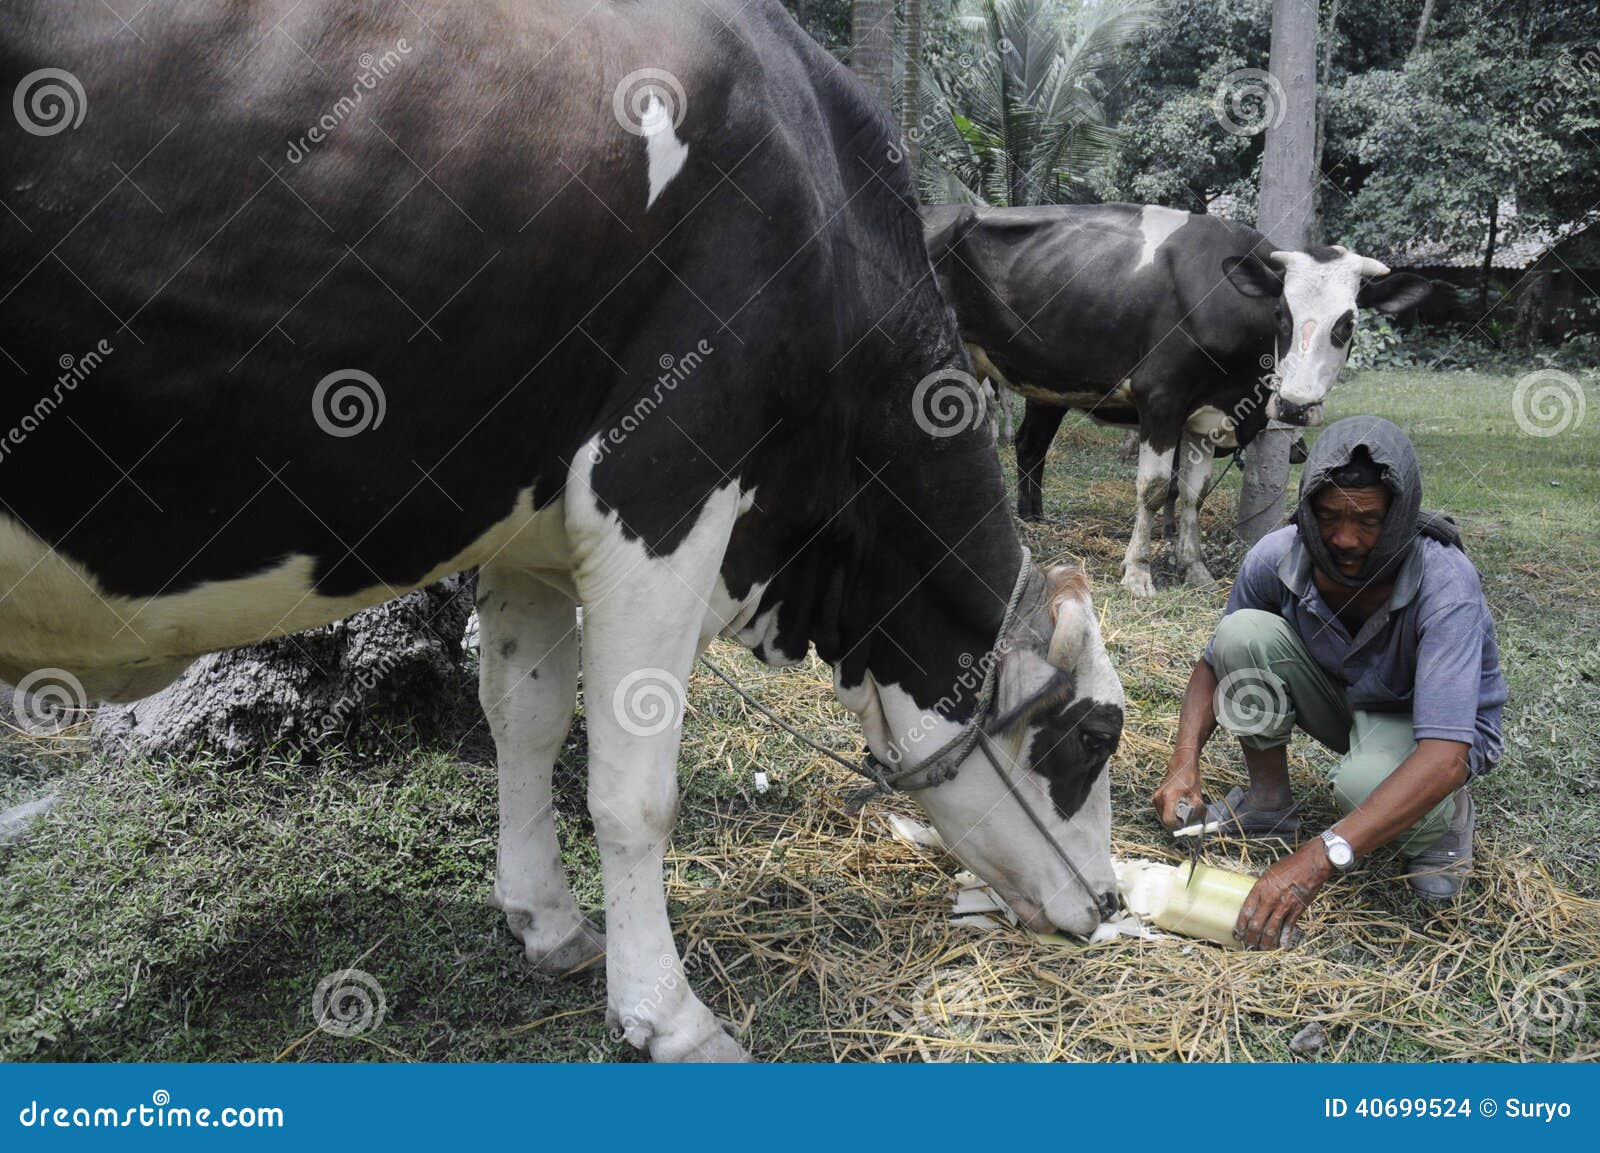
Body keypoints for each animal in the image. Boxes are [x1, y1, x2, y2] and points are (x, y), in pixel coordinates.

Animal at [1, 1, 1125, 1061]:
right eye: (1093, 734)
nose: (1109, 904)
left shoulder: (529, 537)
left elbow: (526, 719)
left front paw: (544, 920)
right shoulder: (662, 484)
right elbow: (635, 791)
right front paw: (668, 1014)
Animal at [923, 204, 1430, 597]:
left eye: (1348, 322)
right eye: (1281, 314)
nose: (1294, 405)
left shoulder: (1206, 419)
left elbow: (1191, 494)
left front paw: (1194, 568)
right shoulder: (1161, 400)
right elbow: (1152, 488)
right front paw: (1137, 573)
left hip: (1042, 386)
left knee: (1030, 443)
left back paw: (1033, 519)